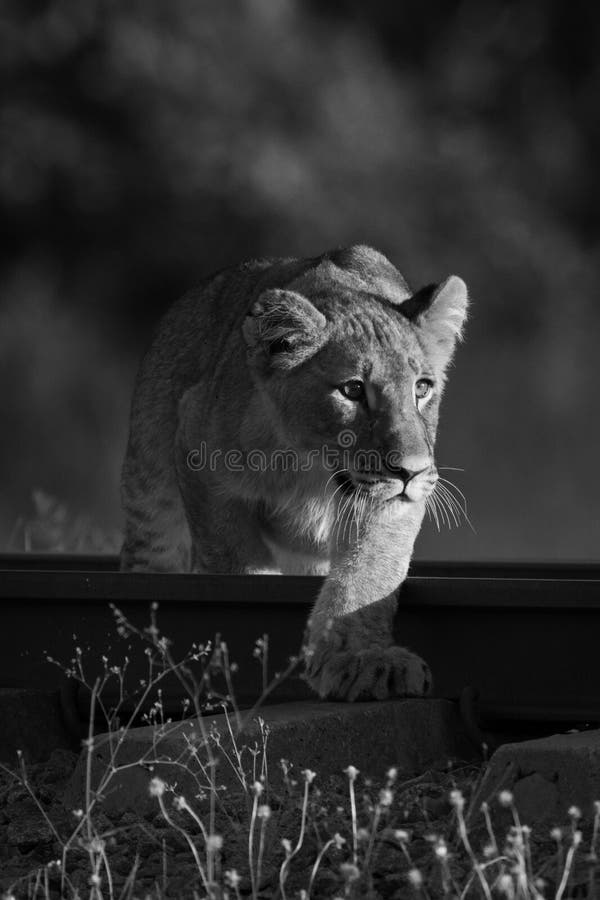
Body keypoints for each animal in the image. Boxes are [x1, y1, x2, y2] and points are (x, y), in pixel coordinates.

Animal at [120, 245, 469, 700]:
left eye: (422, 388)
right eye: (352, 390)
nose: (410, 470)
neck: (313, 469)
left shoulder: (385, 498)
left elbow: (368, 574)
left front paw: (362, 660)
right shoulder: (199, 453)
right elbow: (237, 562)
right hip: (151, 504)